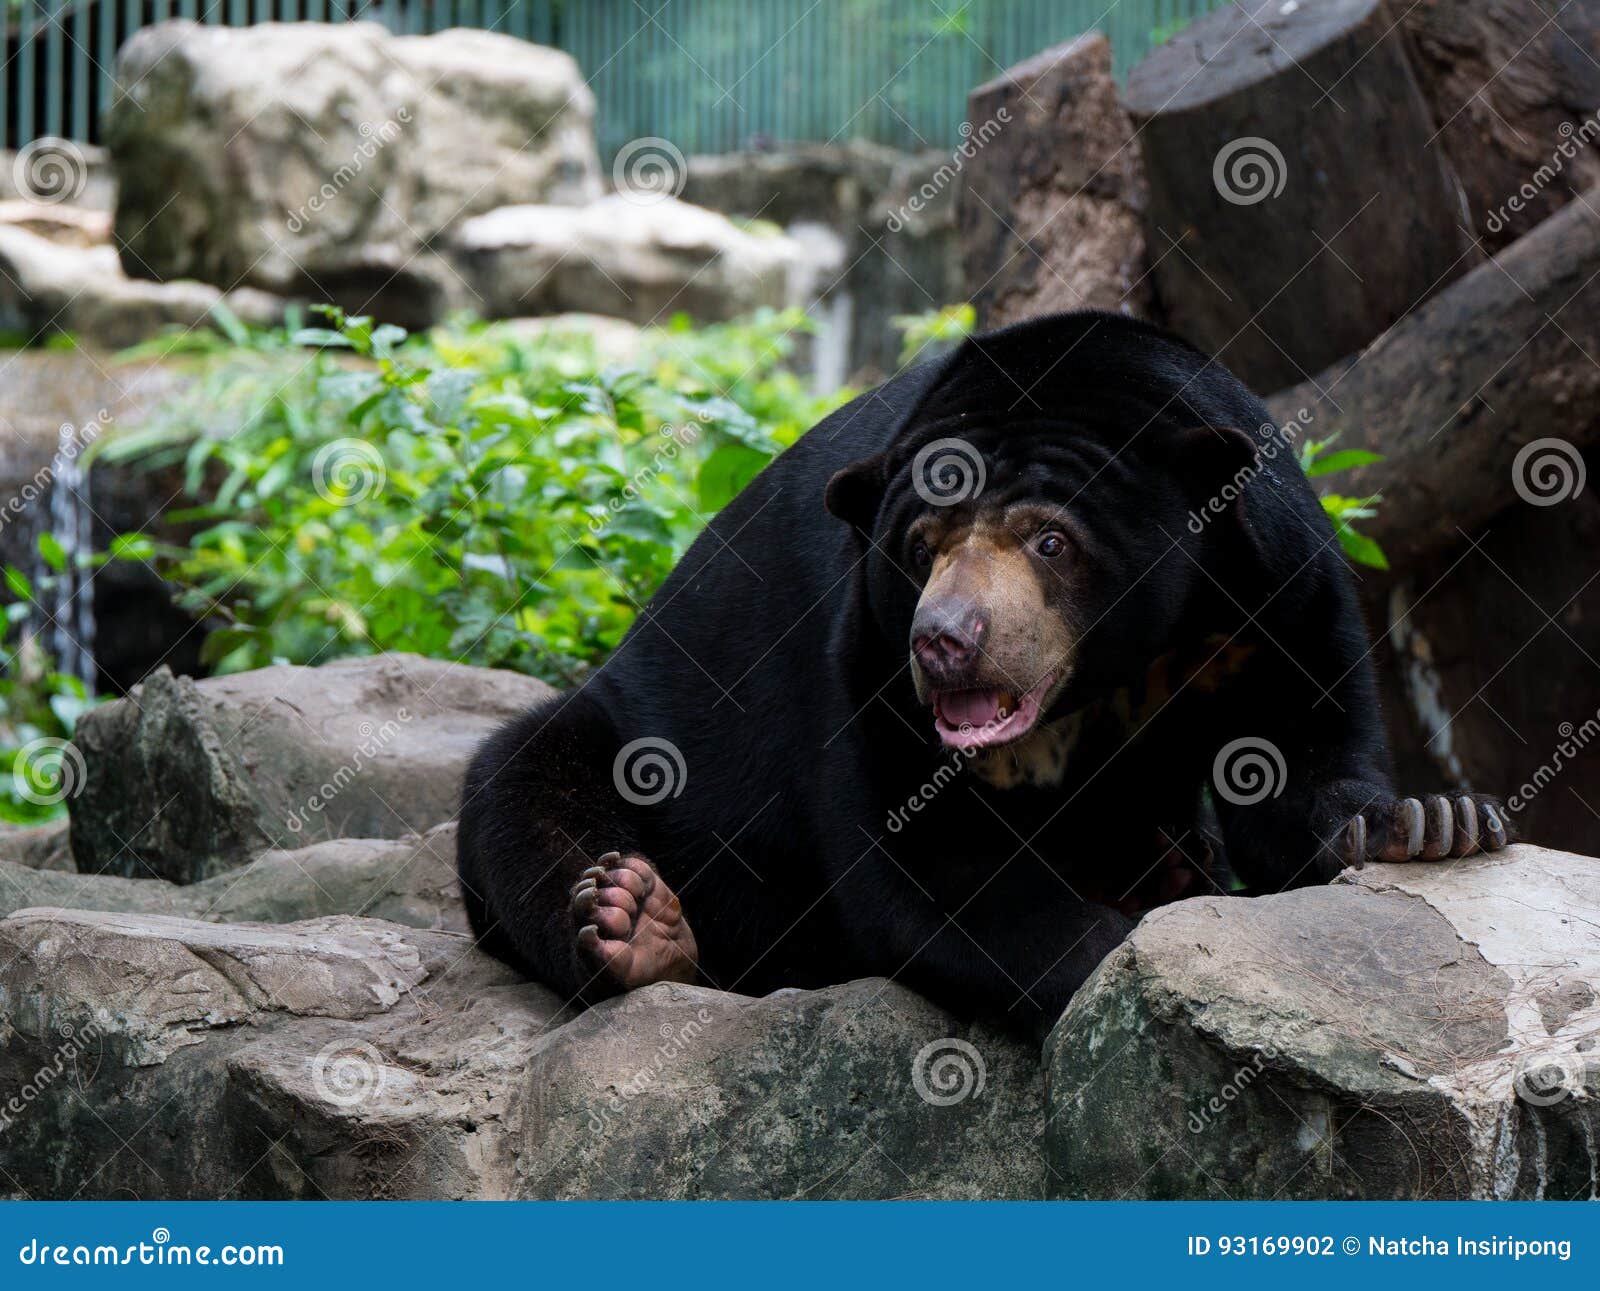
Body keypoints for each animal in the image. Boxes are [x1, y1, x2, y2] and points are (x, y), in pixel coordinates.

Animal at [456, 311, 1509, 1036]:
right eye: (921, 546)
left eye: (1051, 541)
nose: (943, 641)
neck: (1123, 659)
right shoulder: (862, 657)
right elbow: (930, 861)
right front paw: (1112, 961)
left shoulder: (1273, 590)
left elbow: (1297, 747)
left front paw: (1432, 823)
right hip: (637, 741)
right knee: (523, 788)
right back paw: (634, 920)